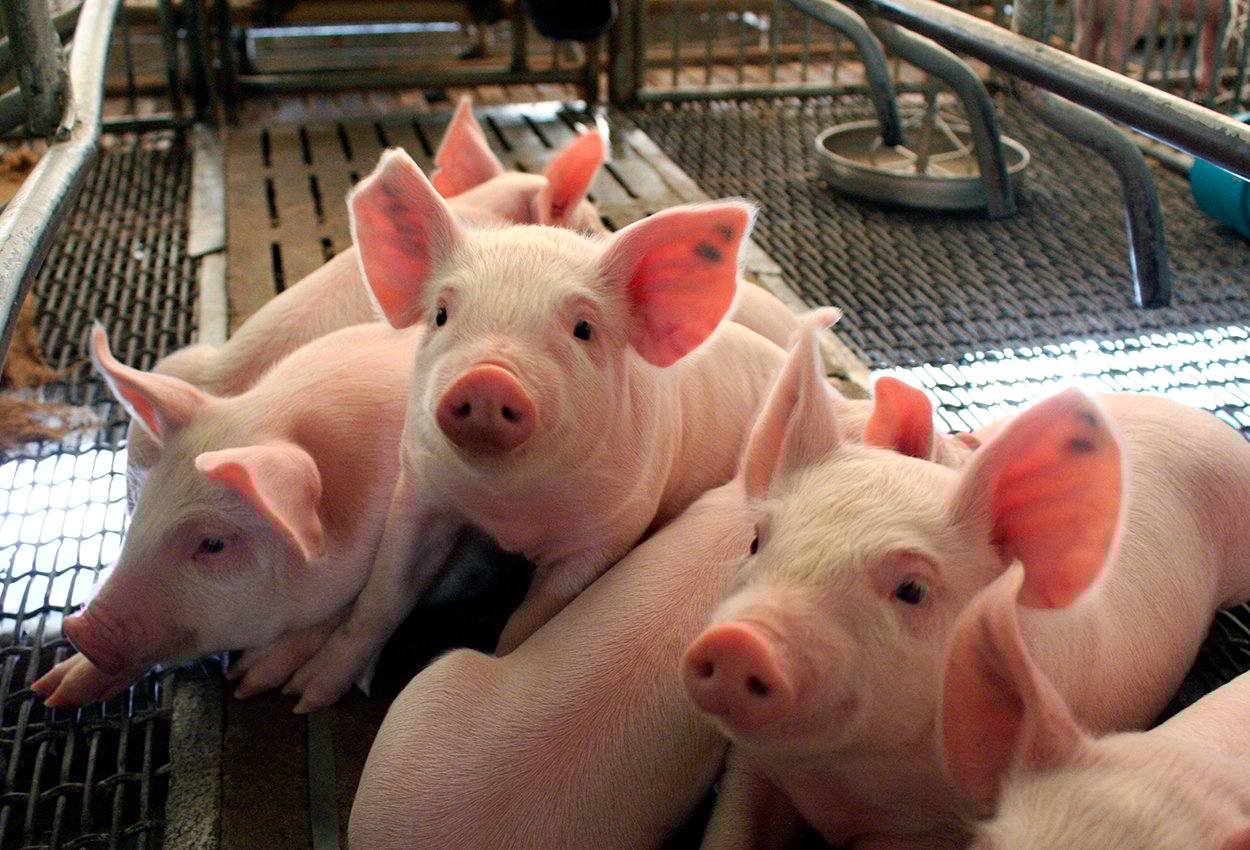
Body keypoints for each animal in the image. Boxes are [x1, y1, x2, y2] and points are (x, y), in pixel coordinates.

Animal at [281, 148, 792, 713]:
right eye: (442, 313)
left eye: (583, 329)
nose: (488, 378)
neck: (508, 510)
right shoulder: (418, 490)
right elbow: (383, 596)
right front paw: (300, 697)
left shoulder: (605, 535)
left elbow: (528, 625)